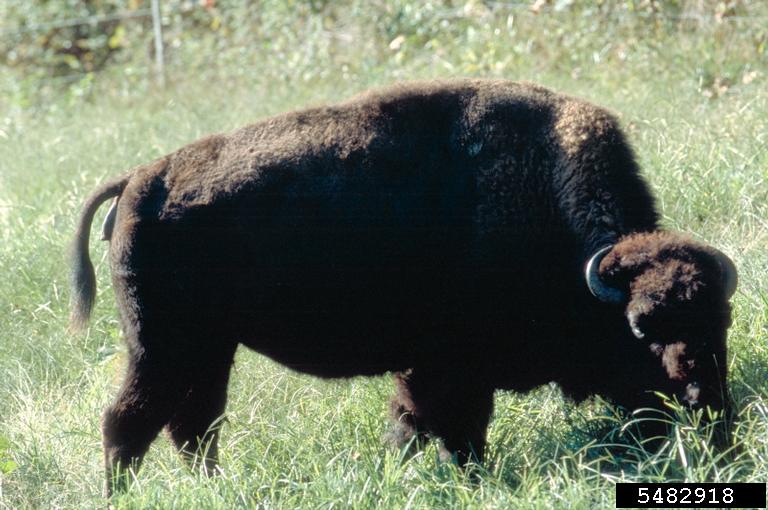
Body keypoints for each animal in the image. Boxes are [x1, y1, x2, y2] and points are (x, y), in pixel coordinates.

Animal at [70, 79, 737, 495]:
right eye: (641, 329)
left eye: (721, 321)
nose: (705, 401)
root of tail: (141, 178)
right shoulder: (447, 369)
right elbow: (455, 431)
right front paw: (468, 481)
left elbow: (413, 426)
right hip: (161, 348)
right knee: (128, 423)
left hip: (210, 350)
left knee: (193, 427)